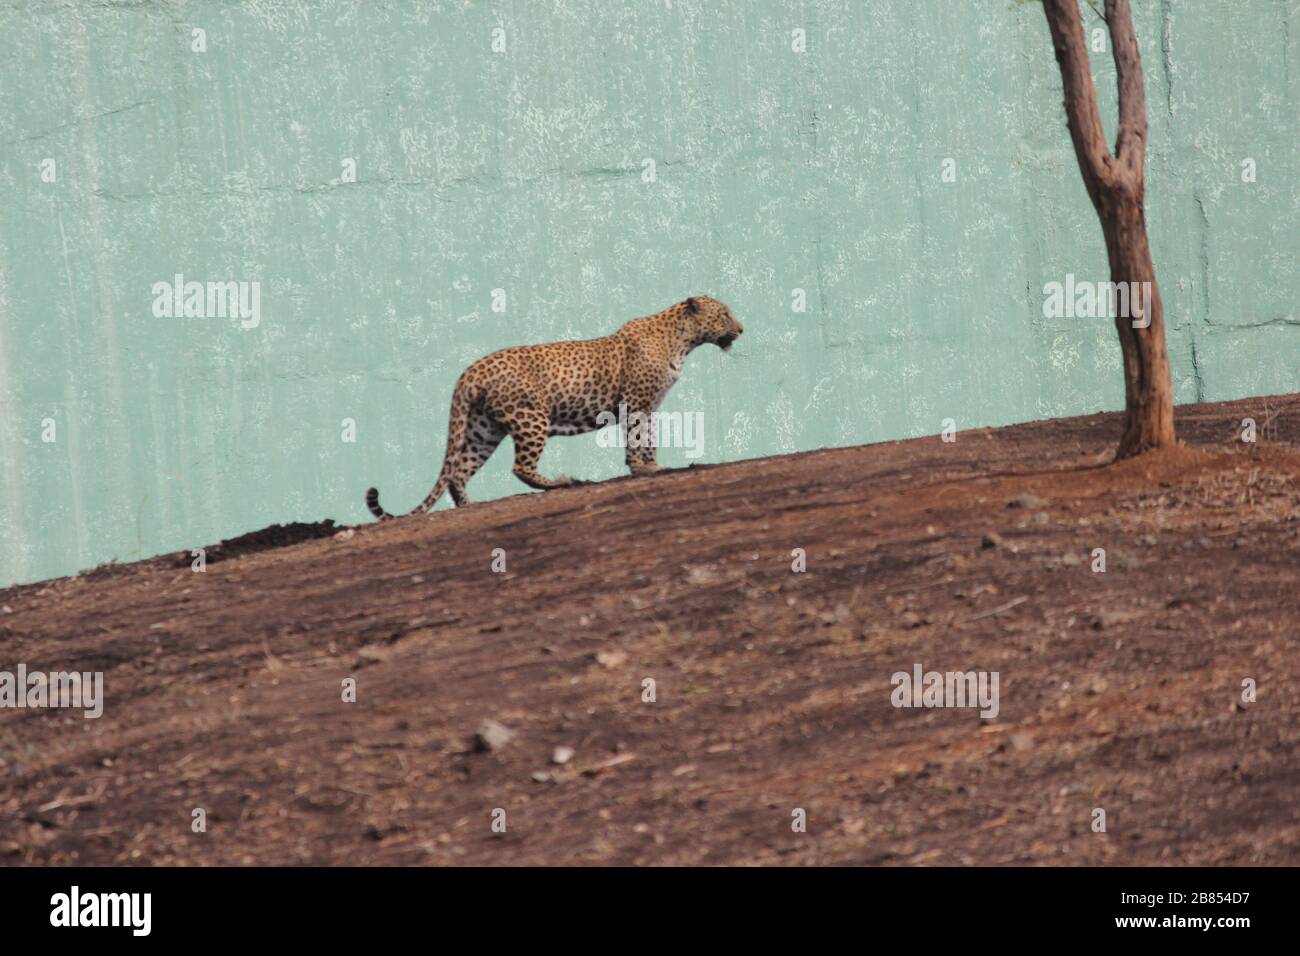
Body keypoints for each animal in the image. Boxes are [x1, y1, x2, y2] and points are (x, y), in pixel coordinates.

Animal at [366, 295, 743, 519]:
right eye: (725, 313)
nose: (741, 329)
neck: (682, 341)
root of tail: (470, 371)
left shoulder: (650, 406)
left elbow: (649, 439)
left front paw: (652, 465)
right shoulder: (636, 403)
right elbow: (637, 440)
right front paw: (643, 469)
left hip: (483, 429)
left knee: (459, 470)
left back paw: (469, 507)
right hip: (531, 418)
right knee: (519, 466)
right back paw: (561, 482)